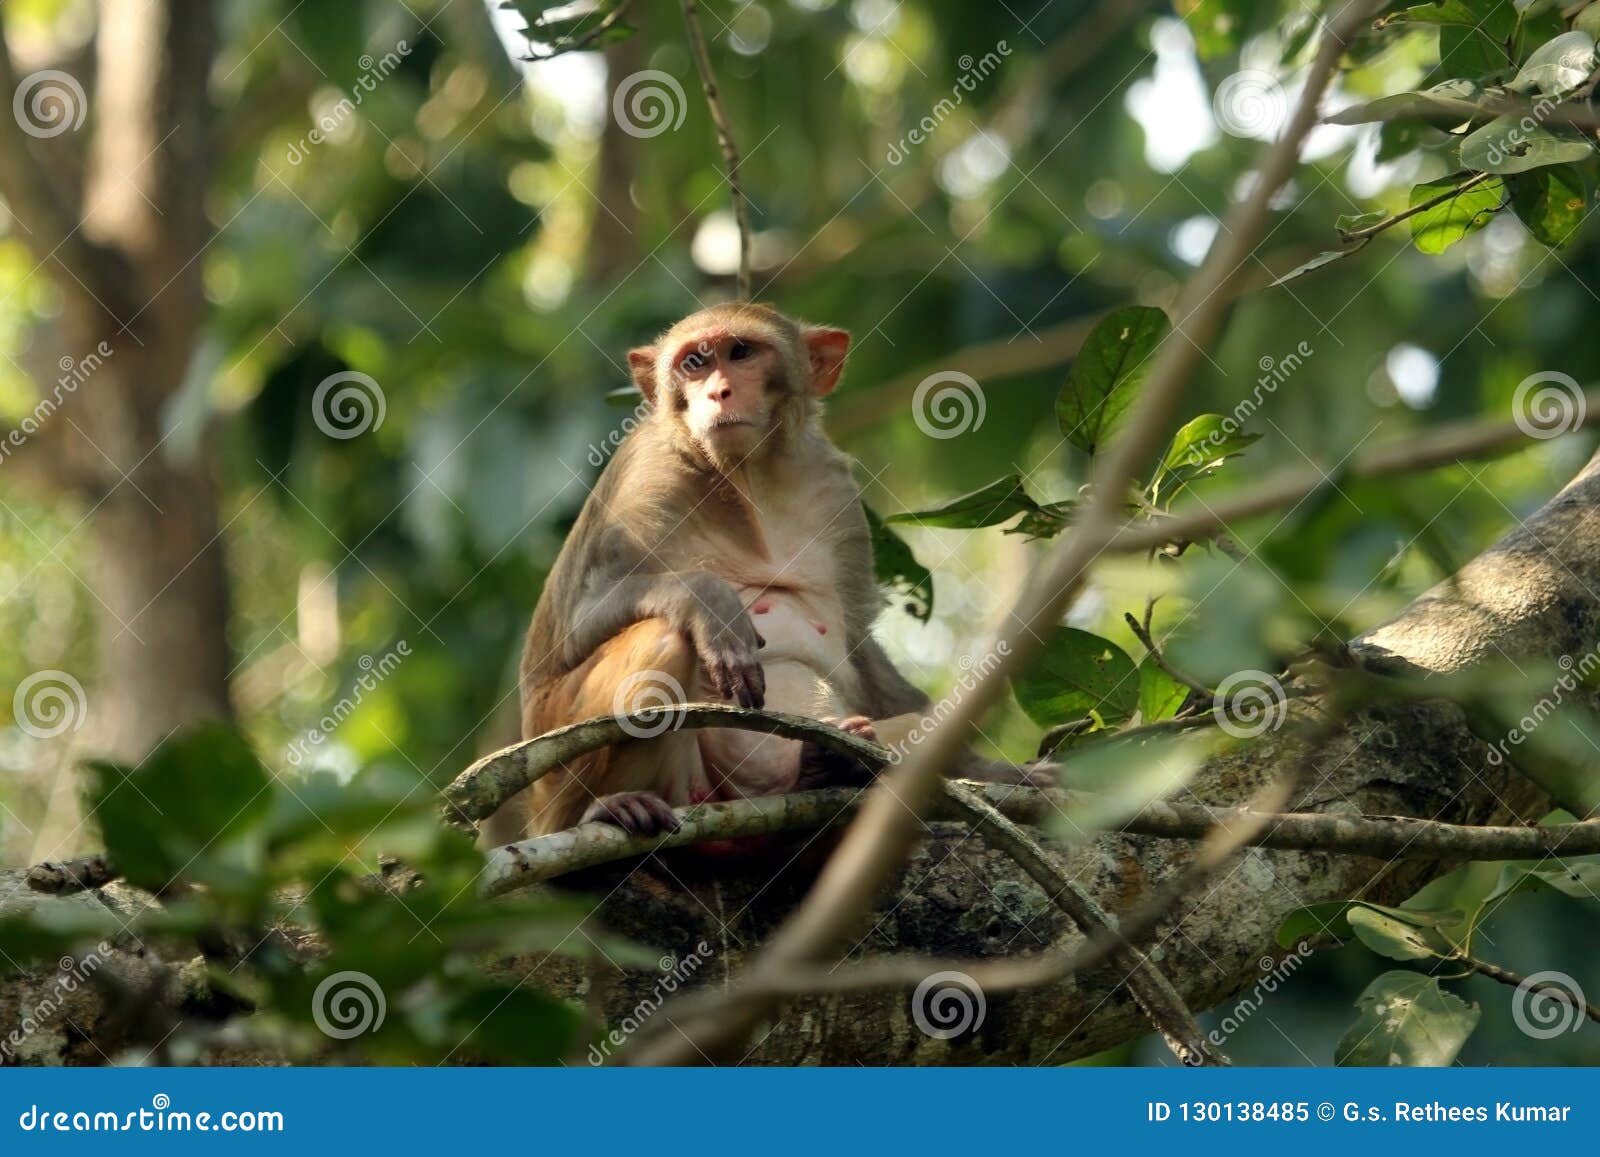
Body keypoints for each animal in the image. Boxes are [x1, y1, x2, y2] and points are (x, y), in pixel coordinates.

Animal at [484, 302, 1043, 846]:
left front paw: (996, 771)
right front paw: (711, 604)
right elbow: (579, 624)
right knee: (661, 639)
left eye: (741, 352)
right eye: (694, 362)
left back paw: (825, 769)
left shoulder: (832, 486)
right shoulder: (646, 477)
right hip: (564, 781)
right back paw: (609, 808)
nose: (719, 391)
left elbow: (860, 643)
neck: (746, 478)